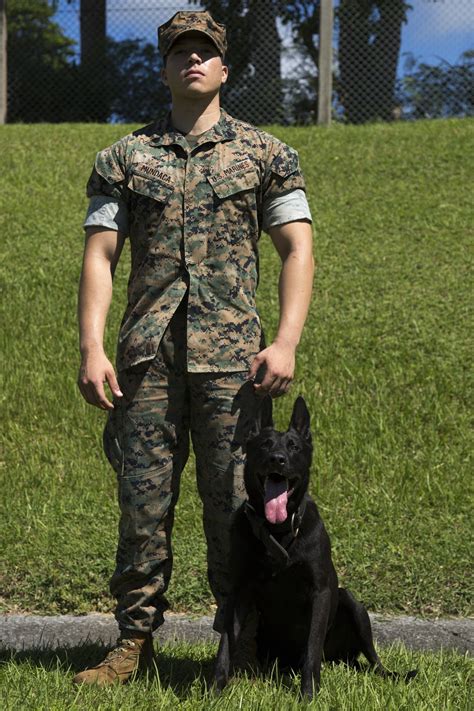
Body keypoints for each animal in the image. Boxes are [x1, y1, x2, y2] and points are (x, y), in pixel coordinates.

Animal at [215, 398, 414, 700]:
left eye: (294, 446)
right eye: (265, 444)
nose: (277, 459)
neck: (278, 531)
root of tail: (340, 659)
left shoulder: (320, 592)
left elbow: (311, 649)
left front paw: (308, 694)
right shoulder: (238, 592)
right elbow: (225, 641)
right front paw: (214, 688)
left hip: (353, 604)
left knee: (371, 658)